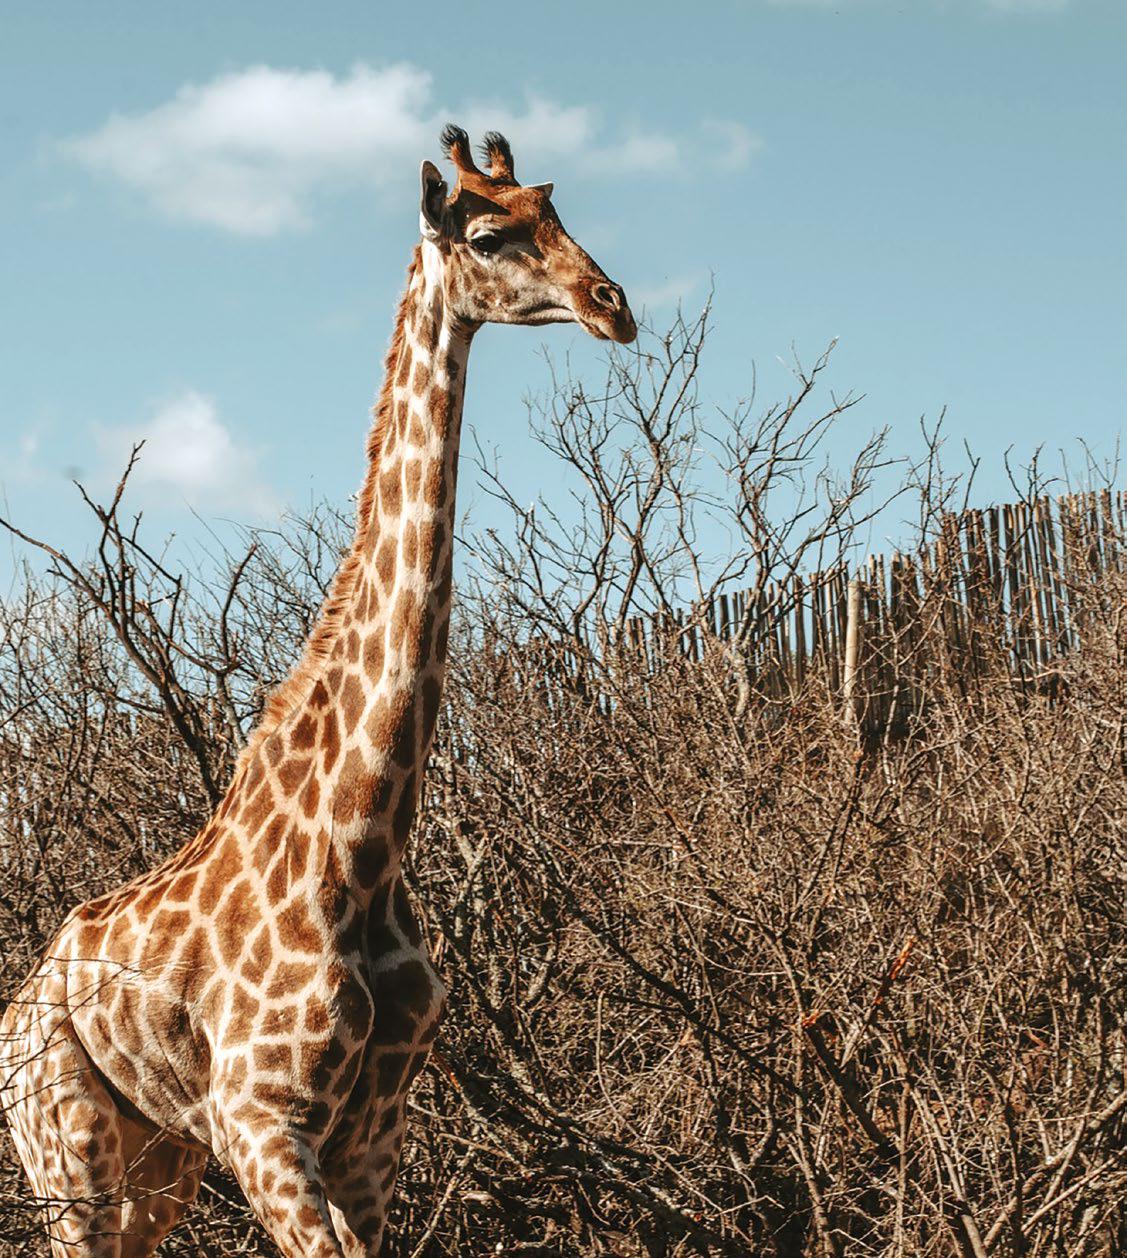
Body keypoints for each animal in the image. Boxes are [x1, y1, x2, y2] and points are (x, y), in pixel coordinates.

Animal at [0, 124, 635, 1258]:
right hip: (66, 1153)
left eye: (557, 211)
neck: (361, 843)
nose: (611, 304)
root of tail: (16, 1005)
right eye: (488, 235)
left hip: (158, 1165)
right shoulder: (262, 1123)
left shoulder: (370, 1137)